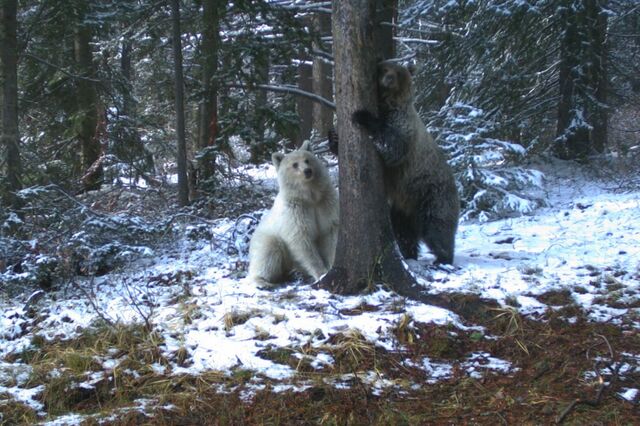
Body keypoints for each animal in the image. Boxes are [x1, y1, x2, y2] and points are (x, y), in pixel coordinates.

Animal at [247, 141, 339, 286]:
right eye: (295, 164)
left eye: (307, 160)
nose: (307, 171)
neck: (309, 197)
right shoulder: (295, 211)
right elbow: (302, 240)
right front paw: (321, 274)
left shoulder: (326, 203)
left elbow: (330, 232)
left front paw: (330, 266)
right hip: (267, 237)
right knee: (267, 252)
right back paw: (262, 281)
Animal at [351, 62, 459, 264]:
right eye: (384, 68)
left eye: (398, 72)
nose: (389, 78)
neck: (388, 104)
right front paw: (333, 137)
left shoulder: (402, 123)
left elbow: (393, 147)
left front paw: (363, 116)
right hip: (402, 207)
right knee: (403, 232)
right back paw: (409, 254)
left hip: (431, 193)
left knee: (436, 227)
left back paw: (443, 257)